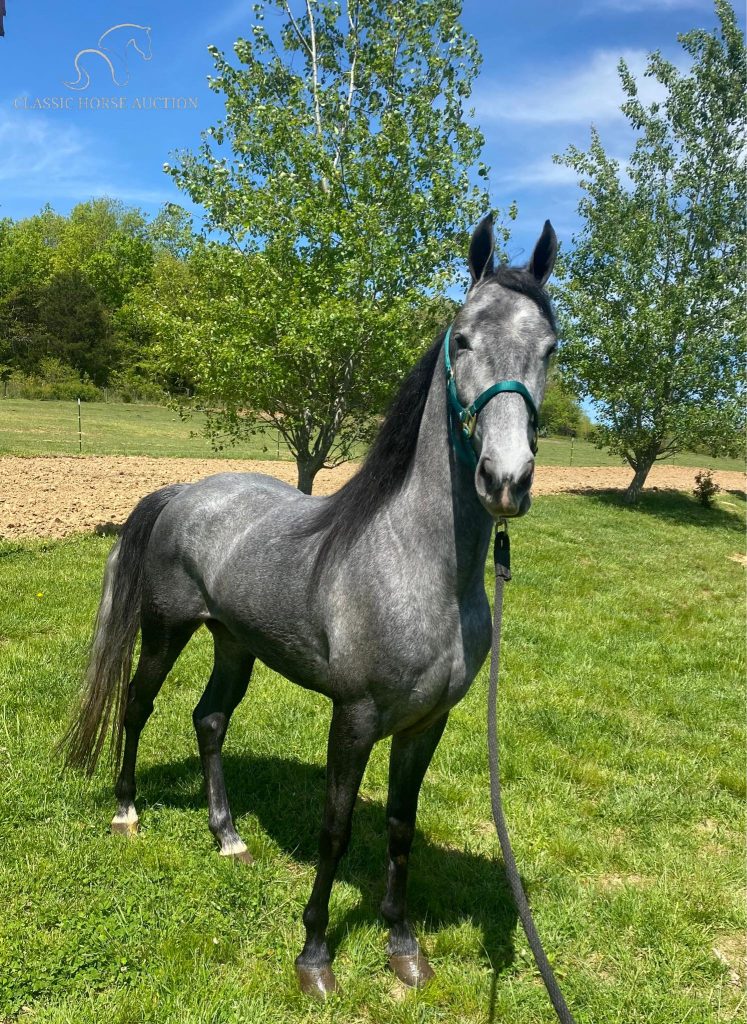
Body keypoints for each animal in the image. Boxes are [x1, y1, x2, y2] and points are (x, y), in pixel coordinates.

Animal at [62, 214, 558, 998]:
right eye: (462, 338)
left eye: (549, 347)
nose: (505, 479)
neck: (419, 569)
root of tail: (183, 492)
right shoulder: (353, 719)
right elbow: (336, 829)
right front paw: (315, 956)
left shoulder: (427, 724)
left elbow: (398, 826)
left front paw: (402, 946)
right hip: (166, 632)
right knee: (138, 705)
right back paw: (126, 811)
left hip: (233, 643)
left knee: (208, 721)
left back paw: (228, 835)